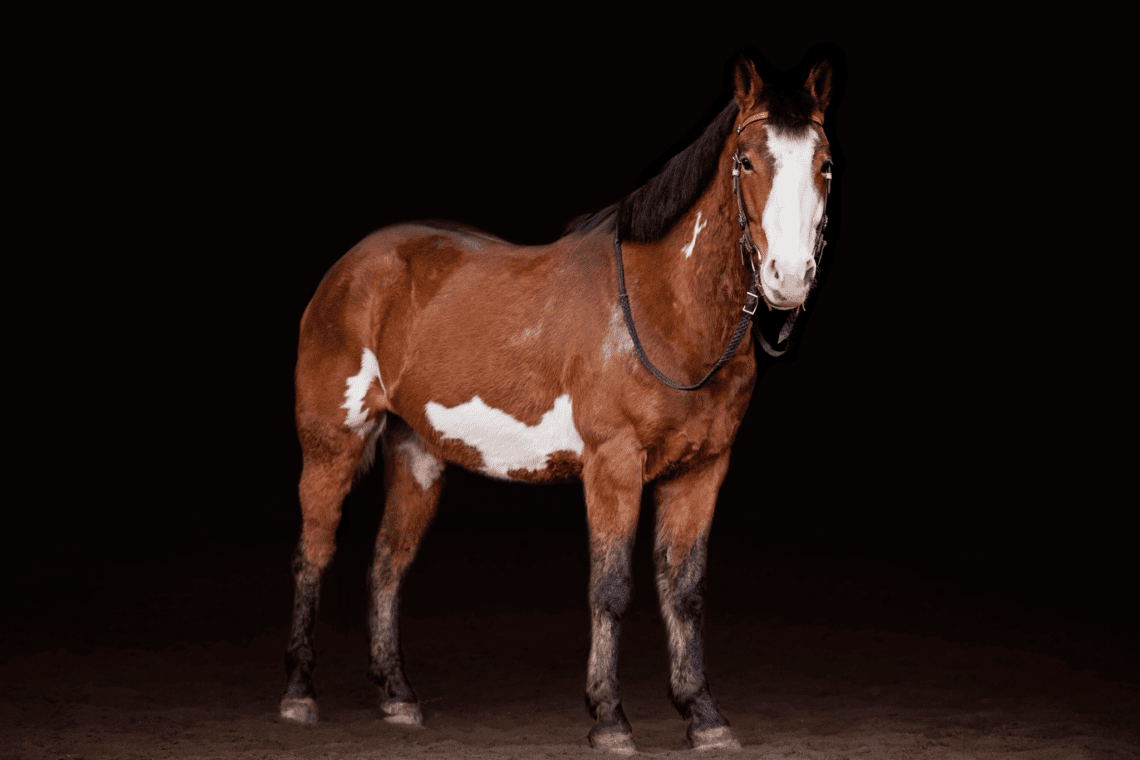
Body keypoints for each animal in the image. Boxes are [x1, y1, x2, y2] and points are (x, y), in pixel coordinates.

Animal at [281, 50, 837, 753]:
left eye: (825, 164)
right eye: (745, 161)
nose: (788, 278)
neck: (663, 312)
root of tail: (351, 268)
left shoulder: (704, 469)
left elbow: (684, 589)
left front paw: (704, 716)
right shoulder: (613, 466)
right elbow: (612, 587)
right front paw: (609, 719)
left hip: (418, 453)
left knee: (387, 564)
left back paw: (399, 698)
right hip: (332, 443)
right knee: (312, 553)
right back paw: (299, 694)